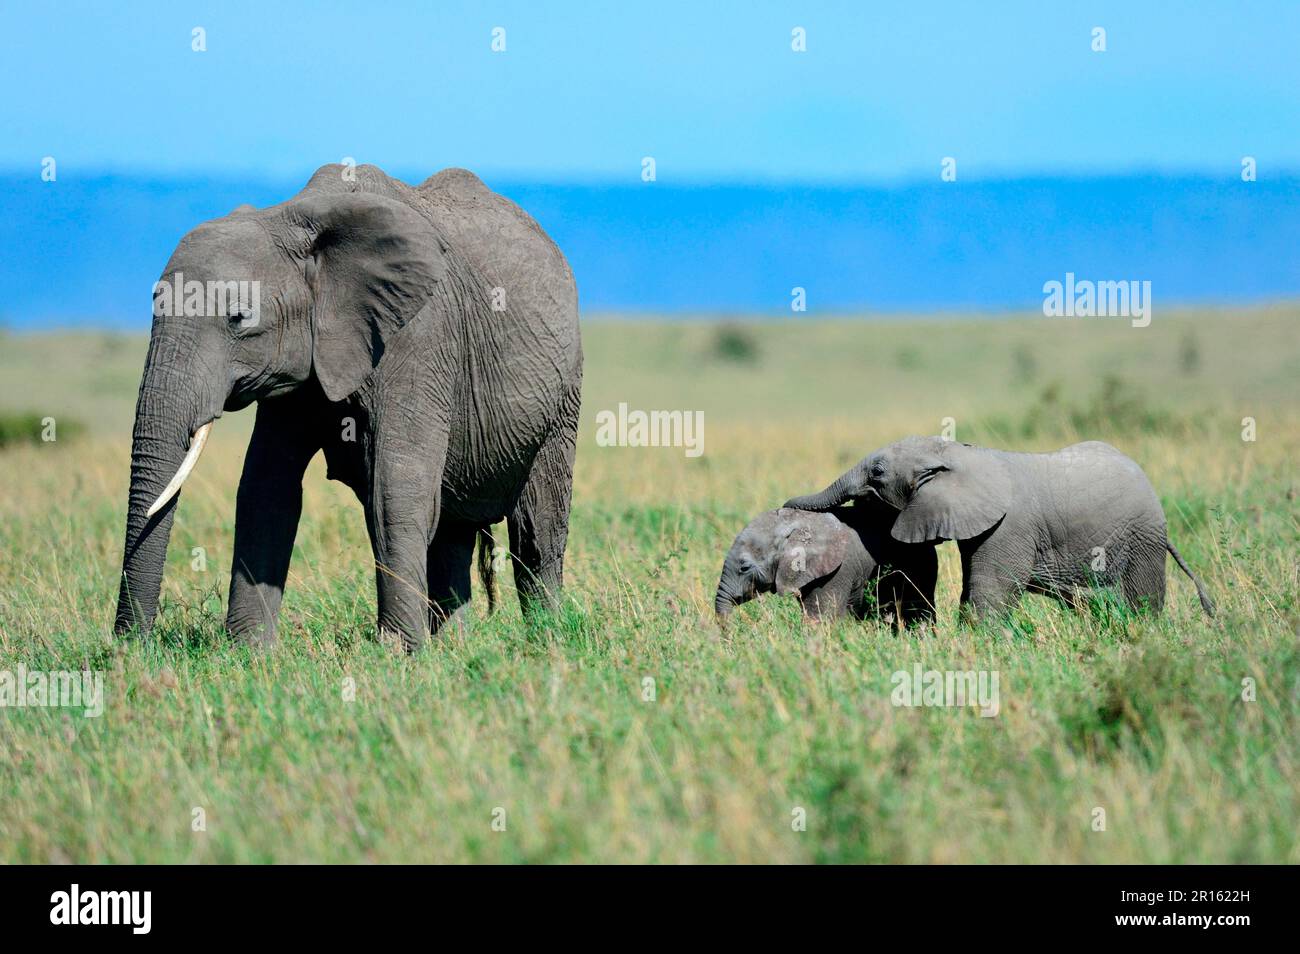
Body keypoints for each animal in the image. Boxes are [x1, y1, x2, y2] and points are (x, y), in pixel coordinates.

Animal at [113, 163, 582, 651]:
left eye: (239, 319)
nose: (132, 646)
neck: (292, 218)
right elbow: (266, 489)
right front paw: (250, 653)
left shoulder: (420, 336)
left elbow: (395, 491)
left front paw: (398, 653)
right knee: (450, 532)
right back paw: (454, 647)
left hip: (562, 397)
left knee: (537, 530)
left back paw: (544, 639)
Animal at [784, 436, 1215, 620]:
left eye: (876, 472)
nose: (784, 505)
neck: (962, 453)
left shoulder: (1010, 527)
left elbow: (990, 591)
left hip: (1142, 537)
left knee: (1142, 599)